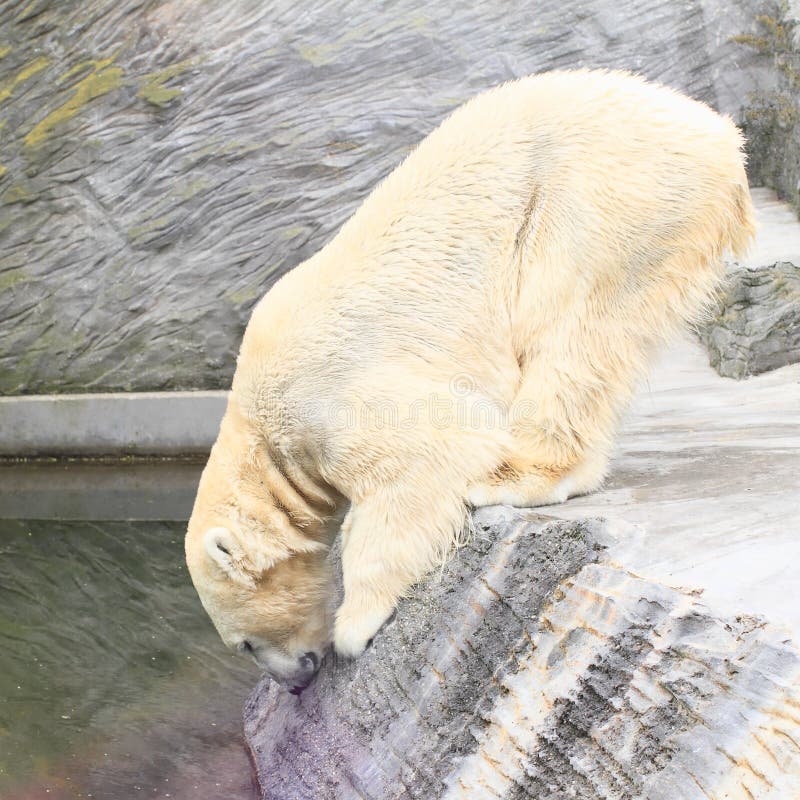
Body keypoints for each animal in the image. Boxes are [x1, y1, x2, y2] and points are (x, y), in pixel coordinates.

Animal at [185, 69, 755, 692]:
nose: (295, 682)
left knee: (570, 326)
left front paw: (356, 624)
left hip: (601, 194)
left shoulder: (325, 397)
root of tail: (719, 134)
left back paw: (519, 476)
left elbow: (427, 453)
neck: (259, 432)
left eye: (244, 643)